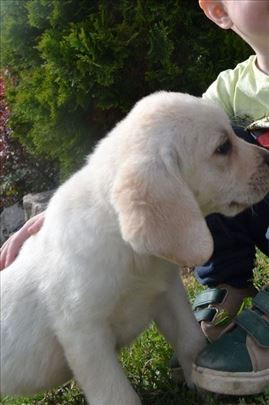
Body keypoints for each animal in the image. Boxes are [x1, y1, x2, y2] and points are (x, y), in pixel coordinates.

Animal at [1, 91, 268, 404]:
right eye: (223, 147)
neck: (128, 250)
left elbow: (191, 342)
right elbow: (117, 395)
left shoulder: (168, 294)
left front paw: (204, 389)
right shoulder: (85, 336)